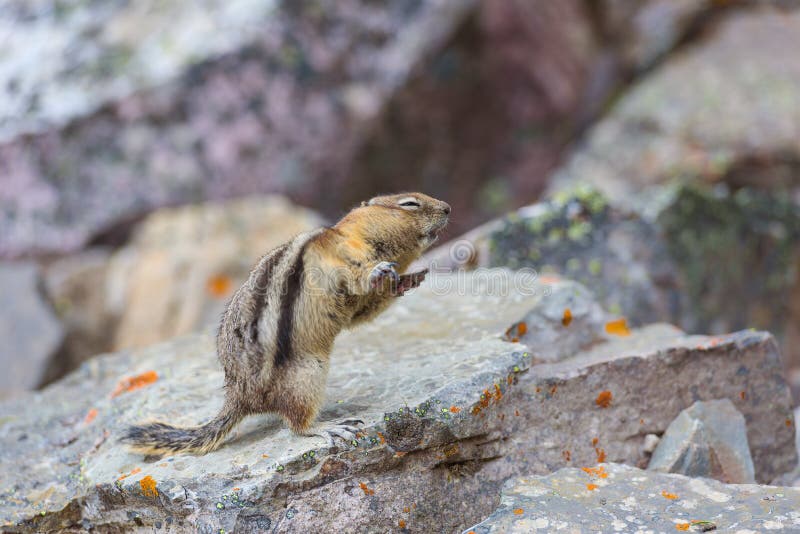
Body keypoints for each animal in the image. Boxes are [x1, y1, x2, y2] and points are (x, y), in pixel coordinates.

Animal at [122, 193, 450, 455]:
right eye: (409, 204)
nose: (448, 208)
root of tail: (239, 397)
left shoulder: (358, 304)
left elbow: (365, 312)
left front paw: (411, 278)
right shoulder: (338, 257)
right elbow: (355, 275)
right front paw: (378, 271)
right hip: (306, 374)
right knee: (295, 424)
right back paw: (330, 427)